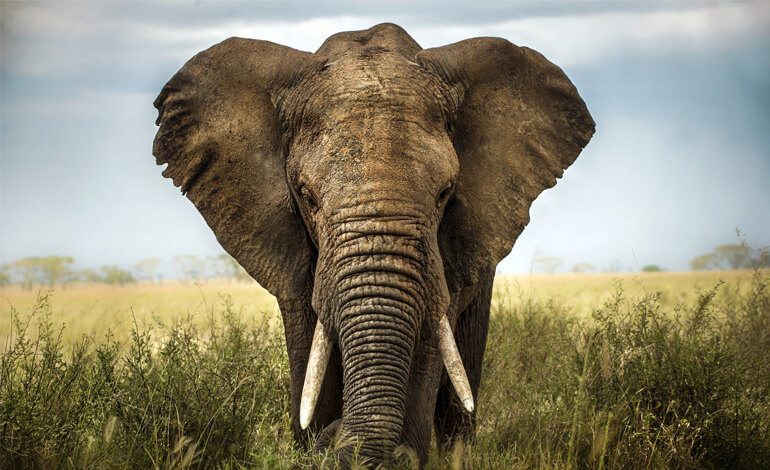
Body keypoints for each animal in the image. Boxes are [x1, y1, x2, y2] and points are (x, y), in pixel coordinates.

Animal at [153, 23, 594, 467]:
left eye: (445, 194)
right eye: (306, 196)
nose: (335, 436)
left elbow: (428, 343)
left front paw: (401, 453)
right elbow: (309, 351)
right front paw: (315, 440)